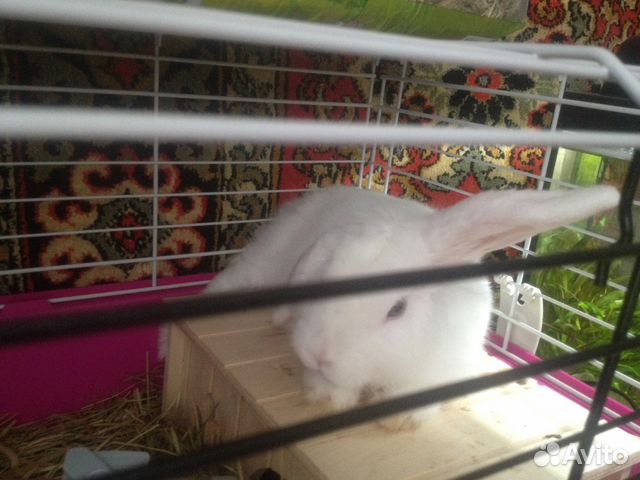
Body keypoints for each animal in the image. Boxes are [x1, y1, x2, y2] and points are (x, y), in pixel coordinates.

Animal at [205, 185, 620, 428]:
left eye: (397, 310)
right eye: (325, 278)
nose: (318, 353)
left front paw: (399, 420)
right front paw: (329, 398)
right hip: (265, 263)